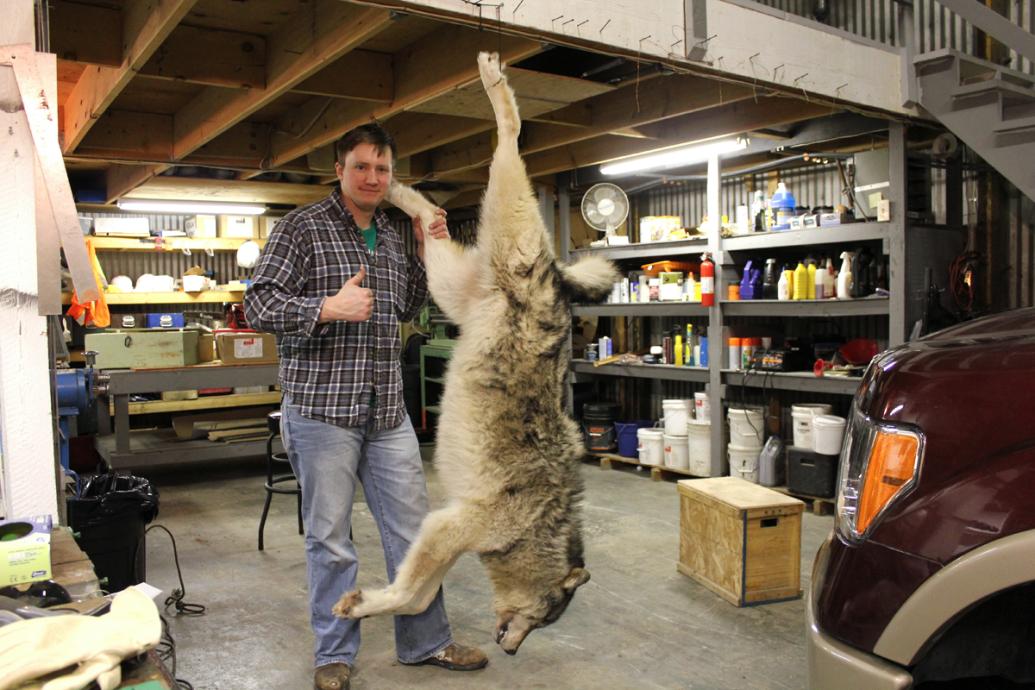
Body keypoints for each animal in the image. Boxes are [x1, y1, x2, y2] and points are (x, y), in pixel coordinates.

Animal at [331, 52, 617, 655]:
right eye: (544, 617)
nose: (510, 649)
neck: (537, 527)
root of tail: (556, 277)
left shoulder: (445, 533)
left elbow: (416, 598)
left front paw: (366, 603)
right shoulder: (448, 527)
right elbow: (408, 594)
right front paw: (366, 604)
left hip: (449, 282)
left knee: (427, 211)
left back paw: (393, 190)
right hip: (506, 217)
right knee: (508, 139)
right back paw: (494, 87)